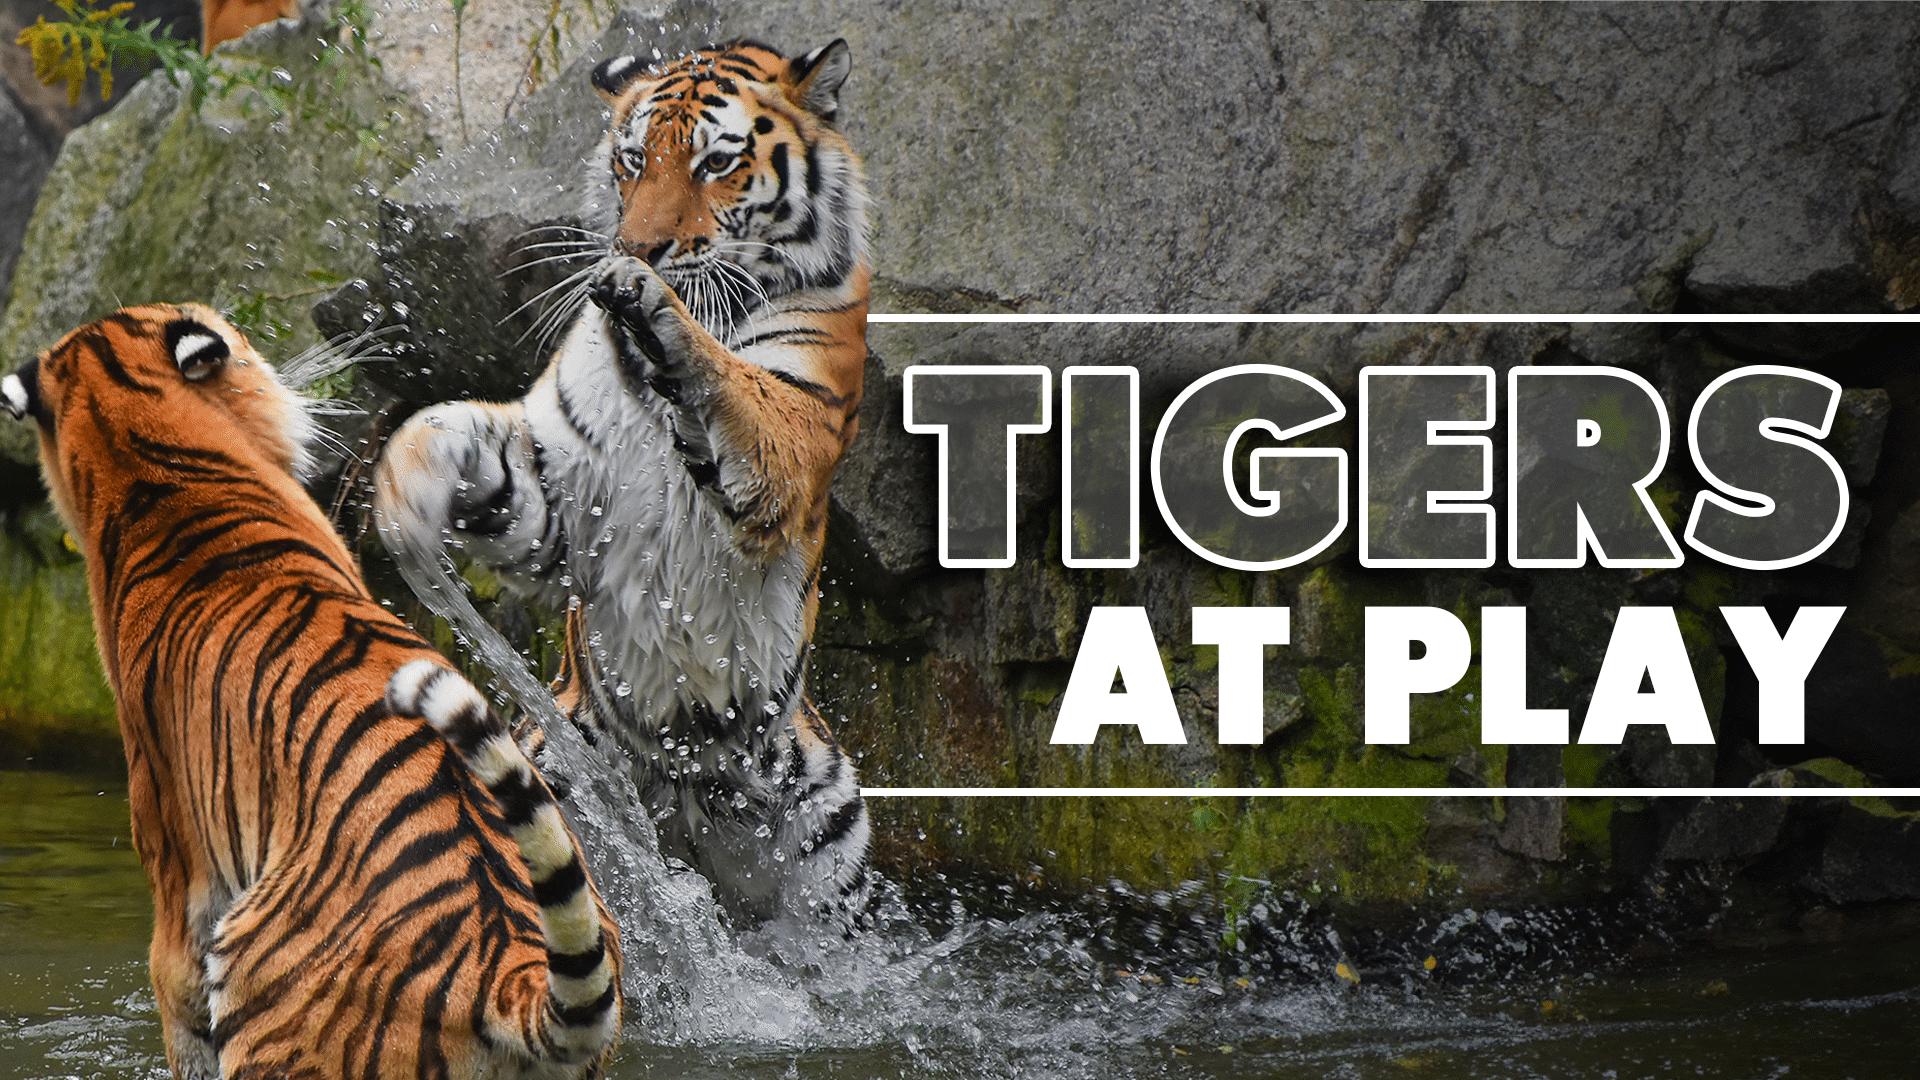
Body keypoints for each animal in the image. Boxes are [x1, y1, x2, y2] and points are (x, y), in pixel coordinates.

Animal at [371, 39, 874, 930]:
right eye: (634, 161)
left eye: (718, 164)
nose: (638, 250)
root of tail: (691, 795)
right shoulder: (560, 493)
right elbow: (462, 444)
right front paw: (404, 480)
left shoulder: (793, 430)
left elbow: (737, 387)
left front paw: (662, 311)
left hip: (826, 839)